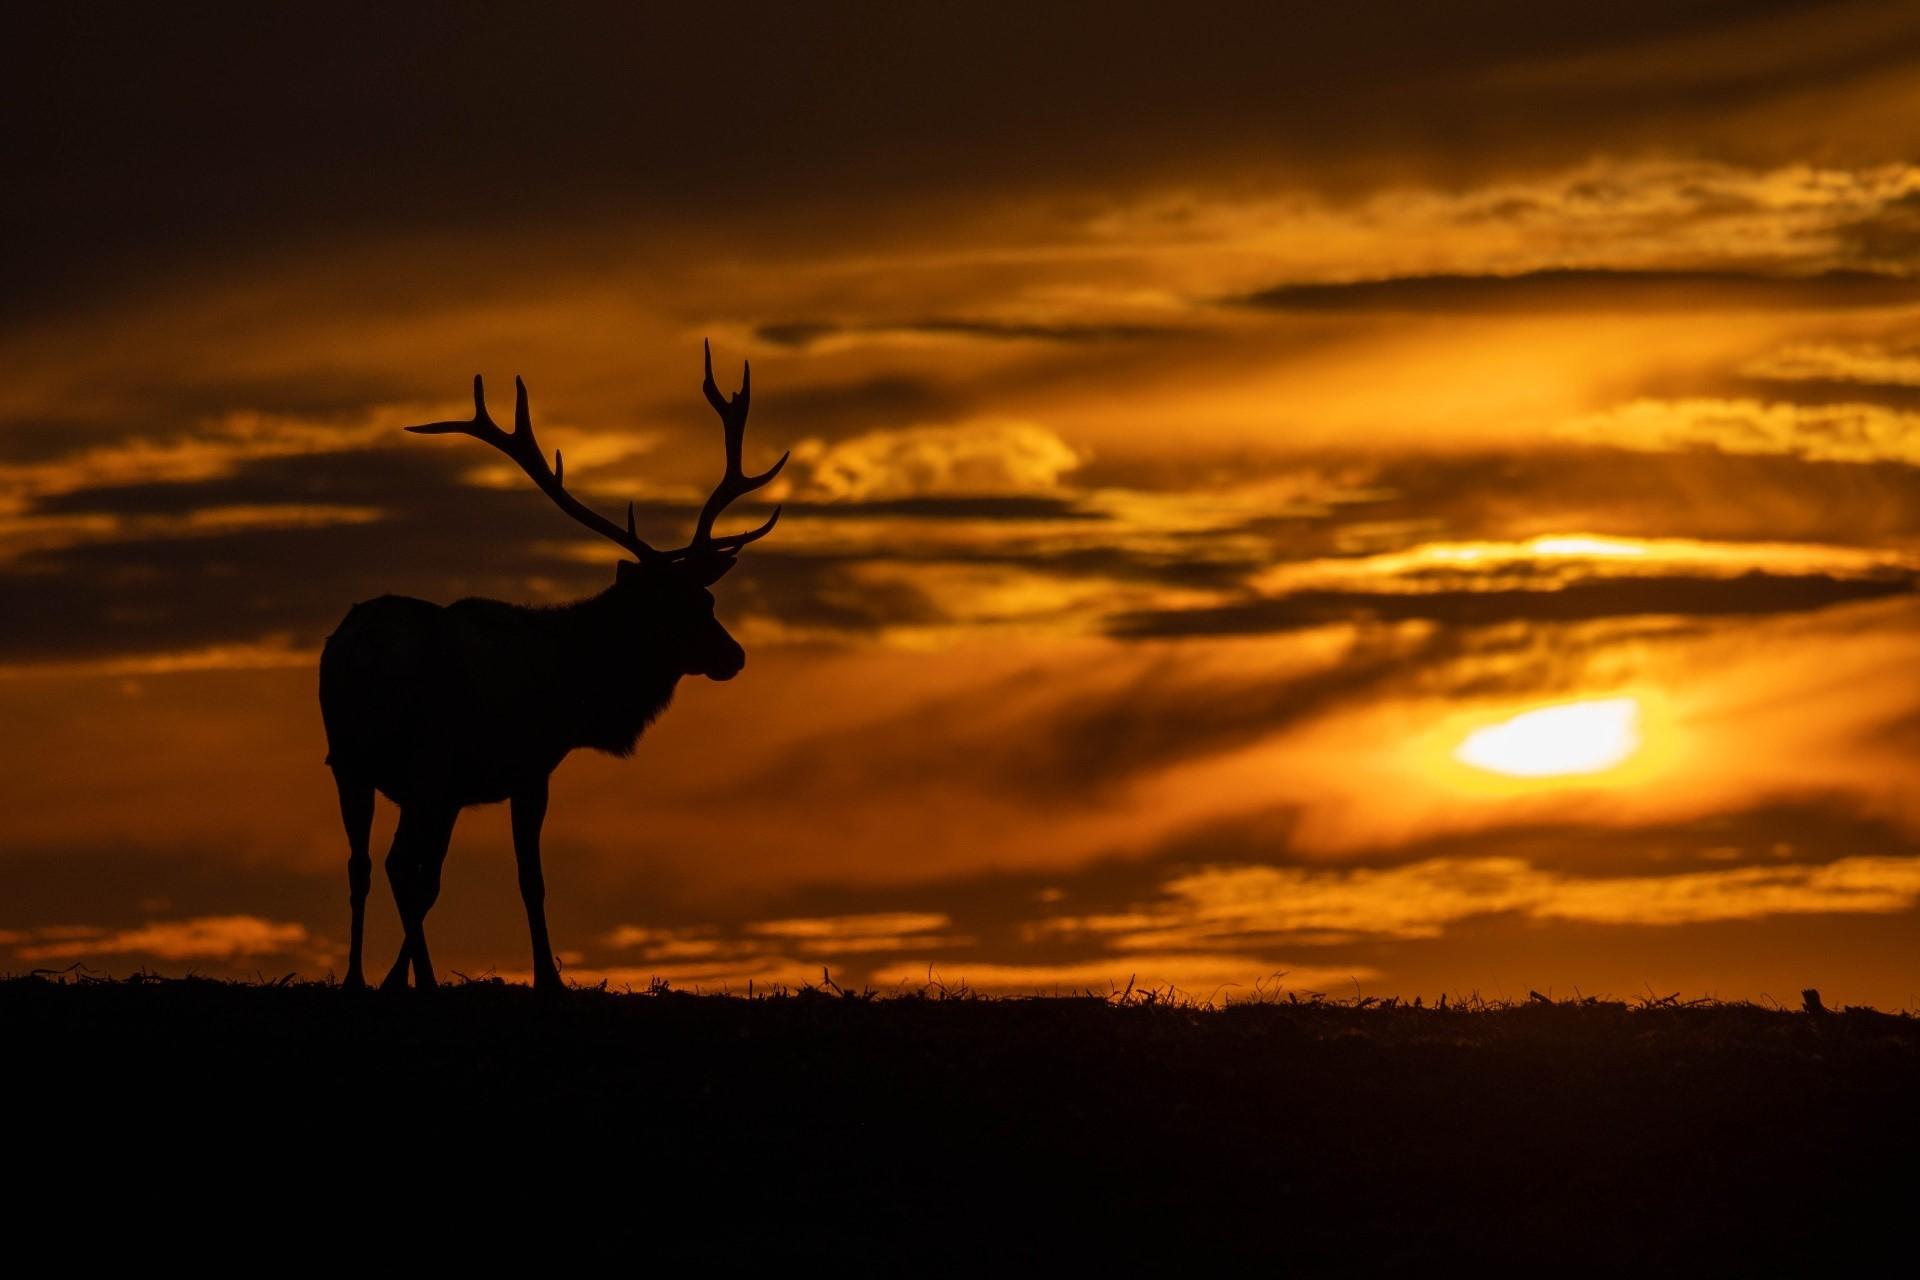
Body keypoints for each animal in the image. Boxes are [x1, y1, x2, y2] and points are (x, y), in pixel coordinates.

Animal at [319, 343, 785, 992]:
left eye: (708, 597)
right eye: (676, 609)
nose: (733, 656)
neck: (572, 692)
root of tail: (357, 650)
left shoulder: (455, 790)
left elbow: (435, 880)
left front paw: (394, 979)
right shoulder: (527, 768)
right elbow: (528, 879)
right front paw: (548, 978)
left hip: (353, 763)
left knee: (364, 865)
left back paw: (358, 978)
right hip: (424, 763)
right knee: (397, 866)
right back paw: (421, 982)